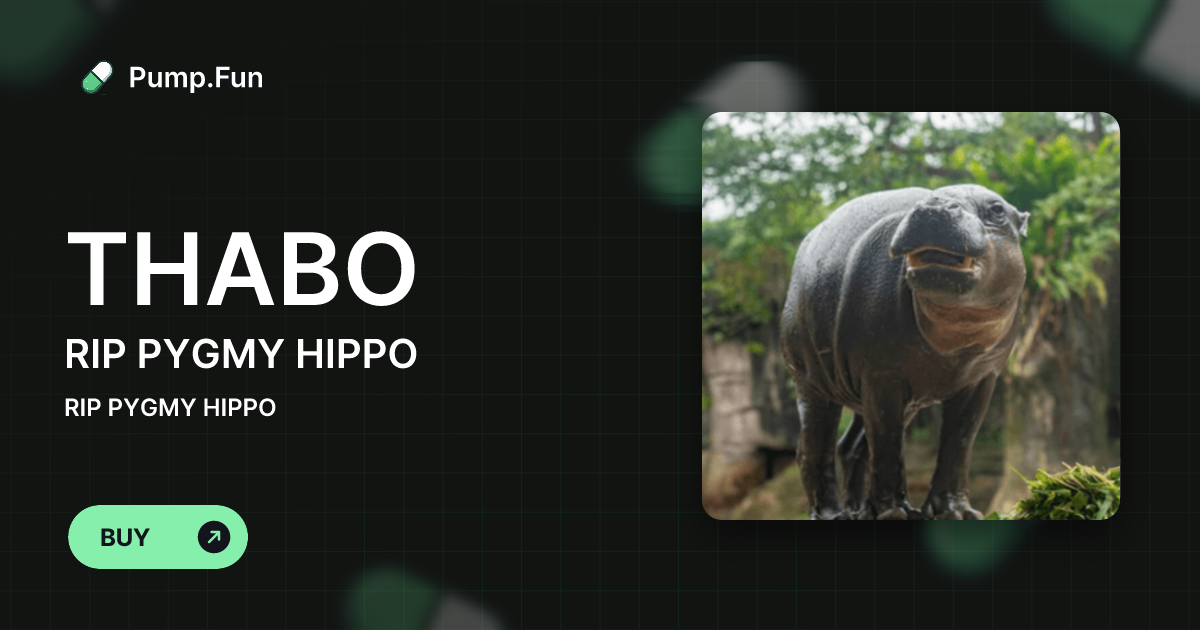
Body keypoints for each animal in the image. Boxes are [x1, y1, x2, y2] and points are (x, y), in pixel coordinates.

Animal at [781, 184, 1029, 520]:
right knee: (814, 446)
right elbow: (888, 442)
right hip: (810, 379)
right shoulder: (882, 373)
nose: (934, 206)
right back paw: (835, 514)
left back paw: (860, 512)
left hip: (892, 397)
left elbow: (960, 441)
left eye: (997, 210)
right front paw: (896, 513)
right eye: (927, 198)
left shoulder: (983, 376)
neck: (958, 336)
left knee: (852, 445)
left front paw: (957, 512)